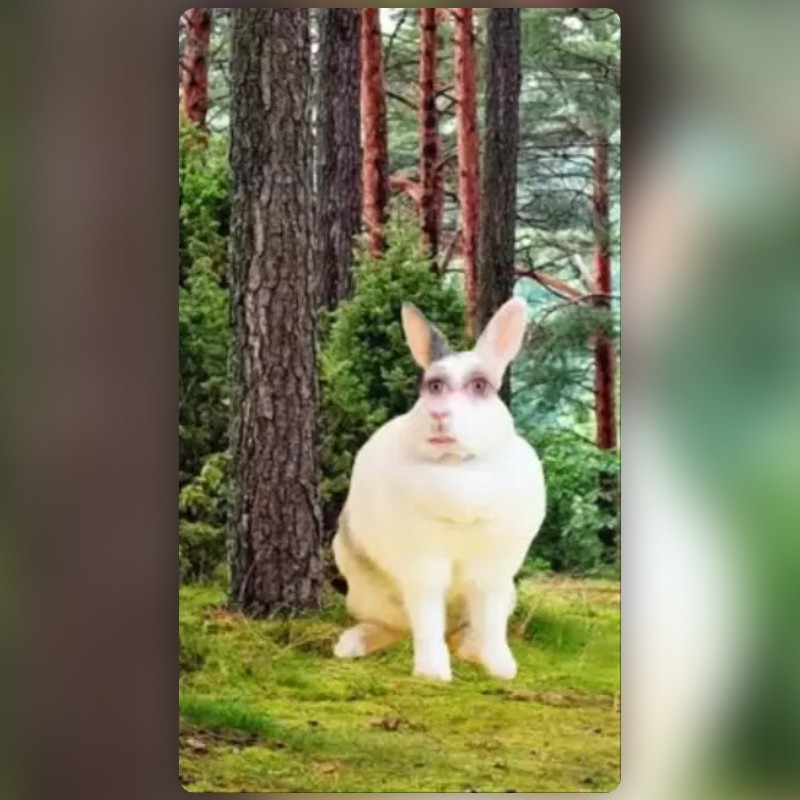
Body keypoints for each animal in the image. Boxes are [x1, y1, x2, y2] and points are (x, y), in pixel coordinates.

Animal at [331, 297, 546, 682]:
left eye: (480, 386)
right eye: (431, 387)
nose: (440, 416)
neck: (458, 465)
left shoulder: (493, 572)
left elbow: (492, 622)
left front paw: (502, 668)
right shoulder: (422, 566)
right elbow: (428, 616)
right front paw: (433, 673)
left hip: (505, 593)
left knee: (465, 628)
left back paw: (472, 650)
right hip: (371, 596)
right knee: (397, 627)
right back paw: (350, 645)